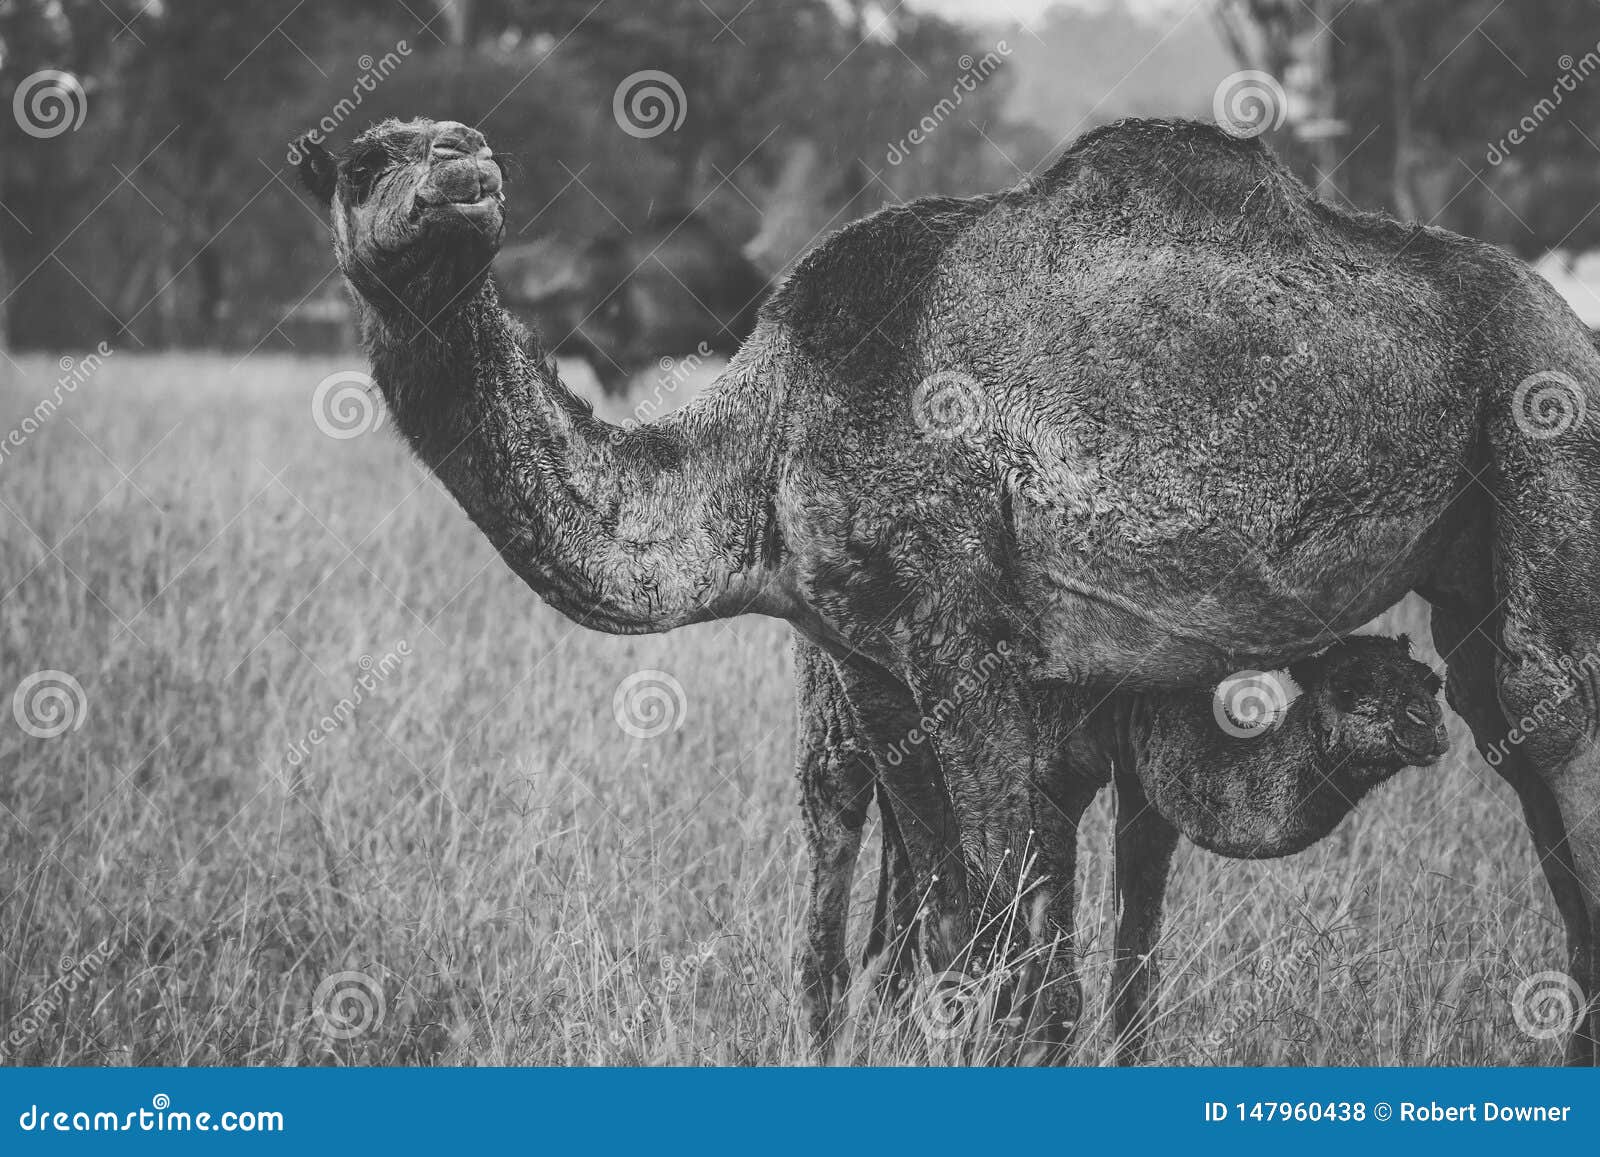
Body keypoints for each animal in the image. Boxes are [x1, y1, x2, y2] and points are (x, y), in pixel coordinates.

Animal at [797, 632, 1449, 1059]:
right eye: (1350, 687)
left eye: (1431, 681)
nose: (1427, 725)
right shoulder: (1044, 775)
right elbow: (1054, 988)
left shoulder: (1145, 771)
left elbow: (1136, 974)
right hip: (836, 717)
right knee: (834, 810)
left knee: (905, 885)